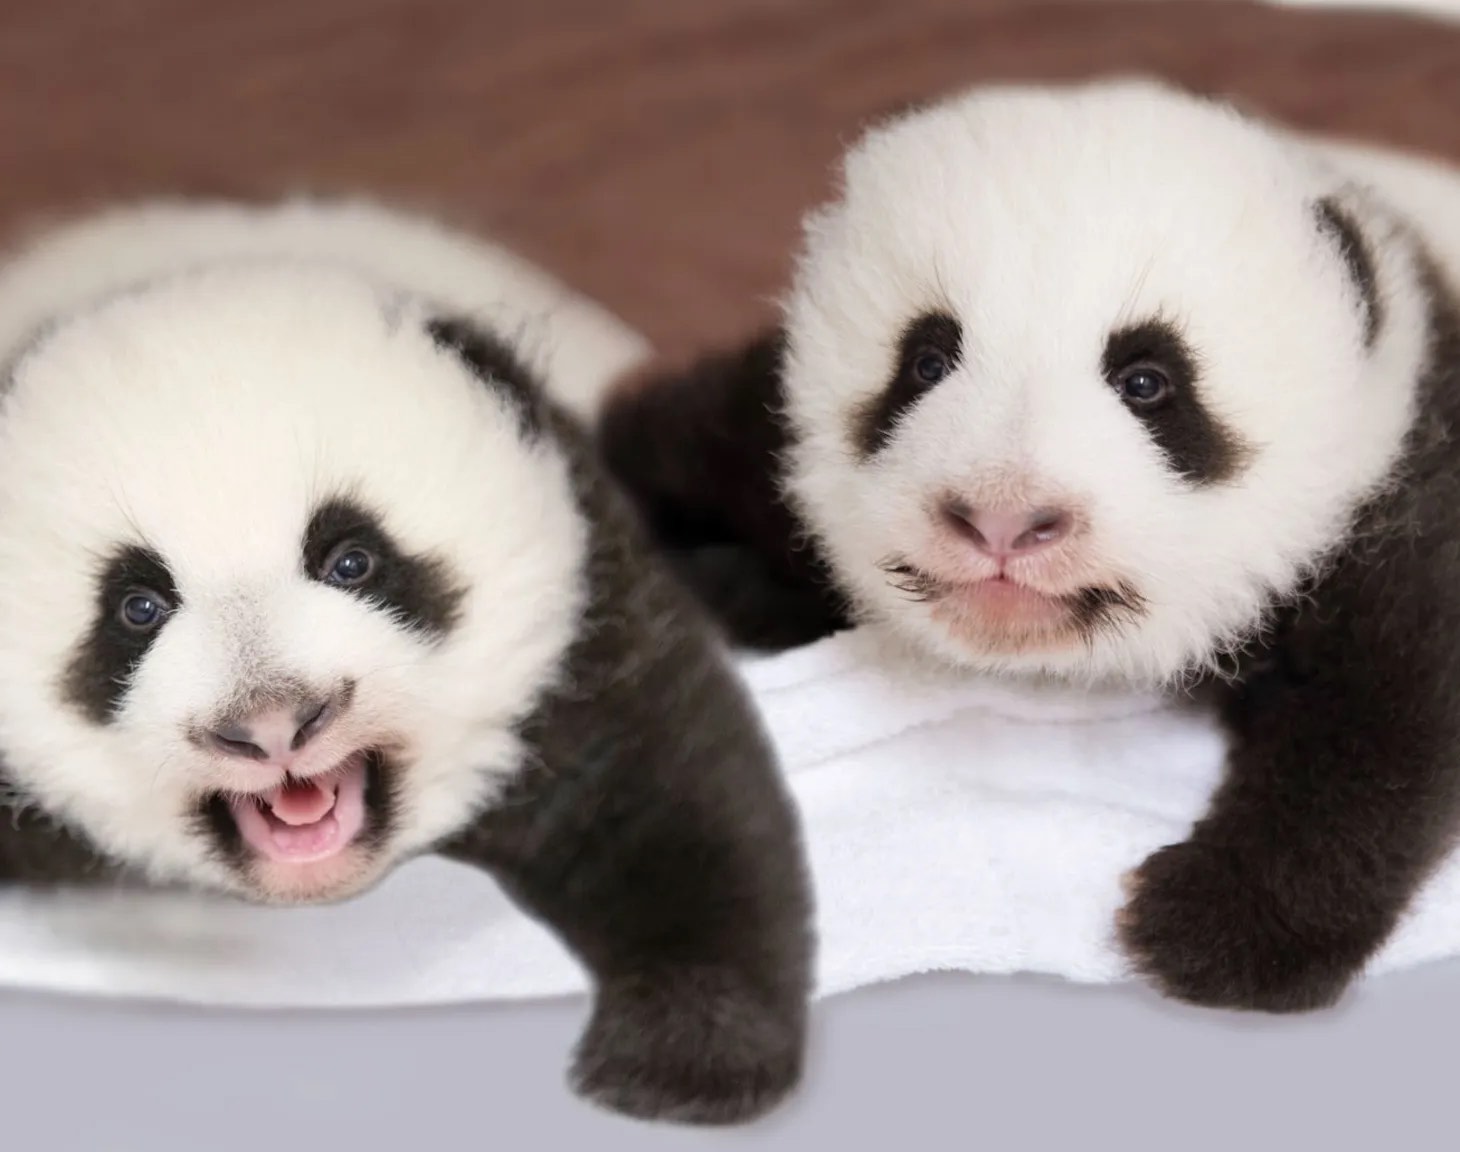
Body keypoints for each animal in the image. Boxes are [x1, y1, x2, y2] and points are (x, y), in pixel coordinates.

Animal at [0, 198, 813, 1125]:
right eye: (138, 607)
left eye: (352, 559)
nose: (274, 723)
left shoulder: (580, 632)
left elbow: (670, 808)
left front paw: (684, 1060)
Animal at [596, 77, 1460, 1014]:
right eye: (926, 361)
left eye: (1147, 381)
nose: (1003, 519)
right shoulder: (753, 432)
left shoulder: (1399, 492)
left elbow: (1388, 715)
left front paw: (1212, 930)